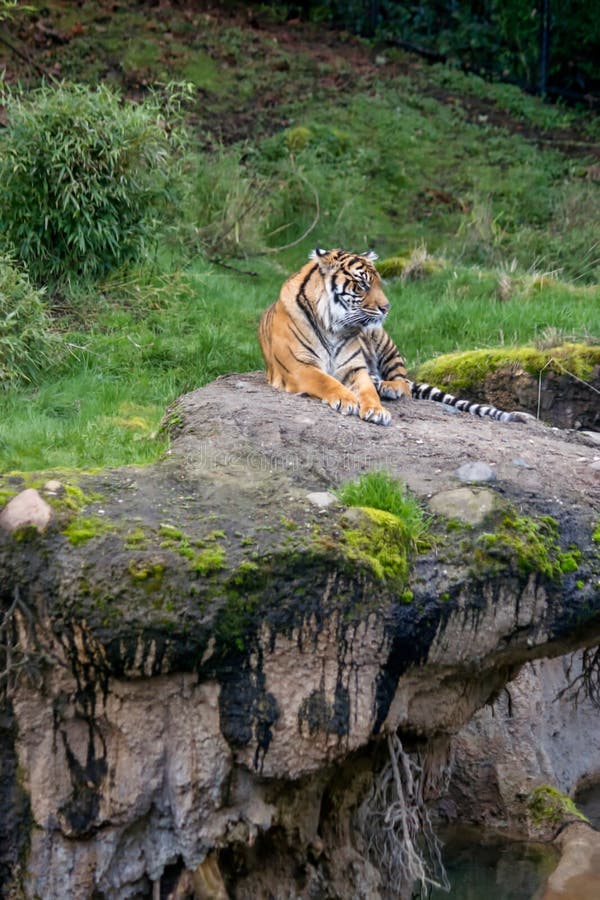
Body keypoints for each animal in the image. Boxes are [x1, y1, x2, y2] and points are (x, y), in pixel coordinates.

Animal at [258, 248, 526, 426]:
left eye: (378, 283)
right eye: (362, 285)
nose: (387, 308)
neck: (333, 326)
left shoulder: (355, 368)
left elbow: (368, 390)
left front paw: (377, 410)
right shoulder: (298, 366)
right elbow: (326, 380)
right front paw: (347, 399)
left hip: (383, 341)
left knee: (403, 382)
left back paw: (389, 387)